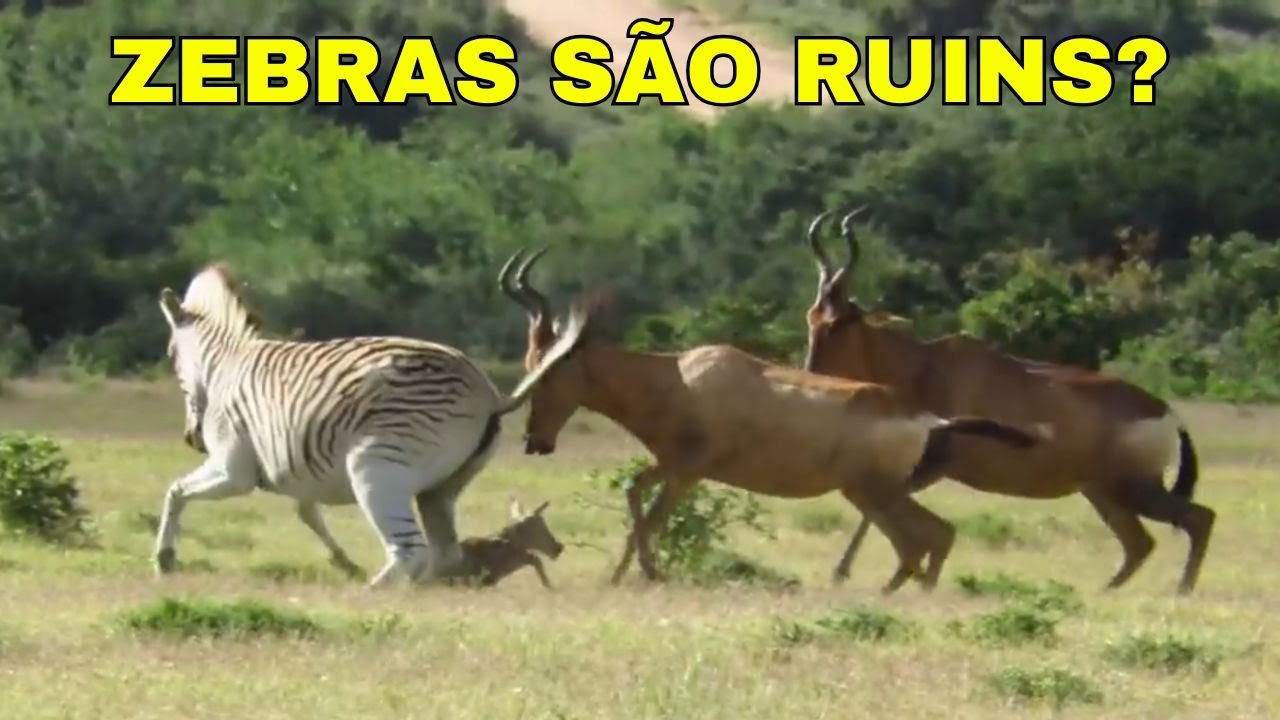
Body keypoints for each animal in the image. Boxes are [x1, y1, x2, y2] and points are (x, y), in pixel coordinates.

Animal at [153, 255, 586, 588]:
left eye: (171, 355)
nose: (191, 438)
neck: (223, 367)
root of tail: (492, 395)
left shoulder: (234, 470)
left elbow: (176, 490)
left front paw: (164, 558)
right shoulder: (296, 470)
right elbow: (307, 514)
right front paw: (343, 562)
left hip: (375, 470)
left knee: (410, 552)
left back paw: (369, 595)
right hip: (441, 489)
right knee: (443, 552)